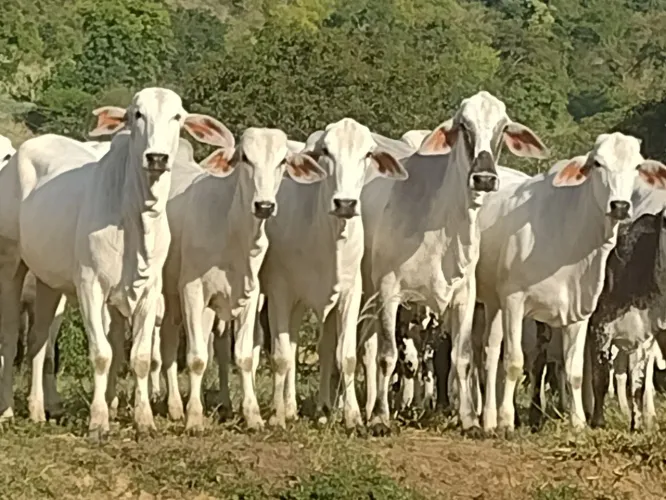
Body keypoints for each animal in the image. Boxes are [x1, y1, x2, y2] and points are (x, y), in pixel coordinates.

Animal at [16, 88, 232, 439]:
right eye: (137, 114)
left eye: (177, 116)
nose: (156, 158)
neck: (135, 219)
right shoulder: (90, 287)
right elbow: (102, 354)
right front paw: (98, 420)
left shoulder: (150, 291)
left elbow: (140, 357)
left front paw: (144, 419)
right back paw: (26, 409)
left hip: (49, 282)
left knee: (39, 341)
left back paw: (39, 408)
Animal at [160, 127, 327, 432]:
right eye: (245, 158)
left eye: (282, 161)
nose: (264, 206)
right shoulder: (191, 291)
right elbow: (196, 358)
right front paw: (194, 417)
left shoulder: (250, 295)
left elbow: (244, 356)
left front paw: (252, 414)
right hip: (168, 295)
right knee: (166, 341)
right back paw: (176, 406)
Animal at [258, 118, 408, 430]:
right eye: (326, 151)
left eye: (367, 154)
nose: (346, 203)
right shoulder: (280, 292)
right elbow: (281, 355)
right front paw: (277, 415)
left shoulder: (349, 294)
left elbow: (345, 355)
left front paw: (352, 416)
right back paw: (291, 407)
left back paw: (325, 407)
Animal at [360, 91, 548, 434]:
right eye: (464, 125)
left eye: (503, 127)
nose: (484, 178)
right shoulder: (389, 291)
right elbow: (387, 356)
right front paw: (380, 417)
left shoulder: (464, 296)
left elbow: (462, 358)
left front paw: (471, 419)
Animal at [476, 132, 666, 434]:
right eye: (597, 163)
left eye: (637, 166)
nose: (620, 206)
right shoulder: (515, 303)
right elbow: (515, 363)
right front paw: (508, 421)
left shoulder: (579, 313)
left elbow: (575, 371)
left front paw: (578, 422)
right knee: (494, 357)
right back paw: (493, 418)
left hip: (494, 304)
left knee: (491, 349)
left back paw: (489, 418)